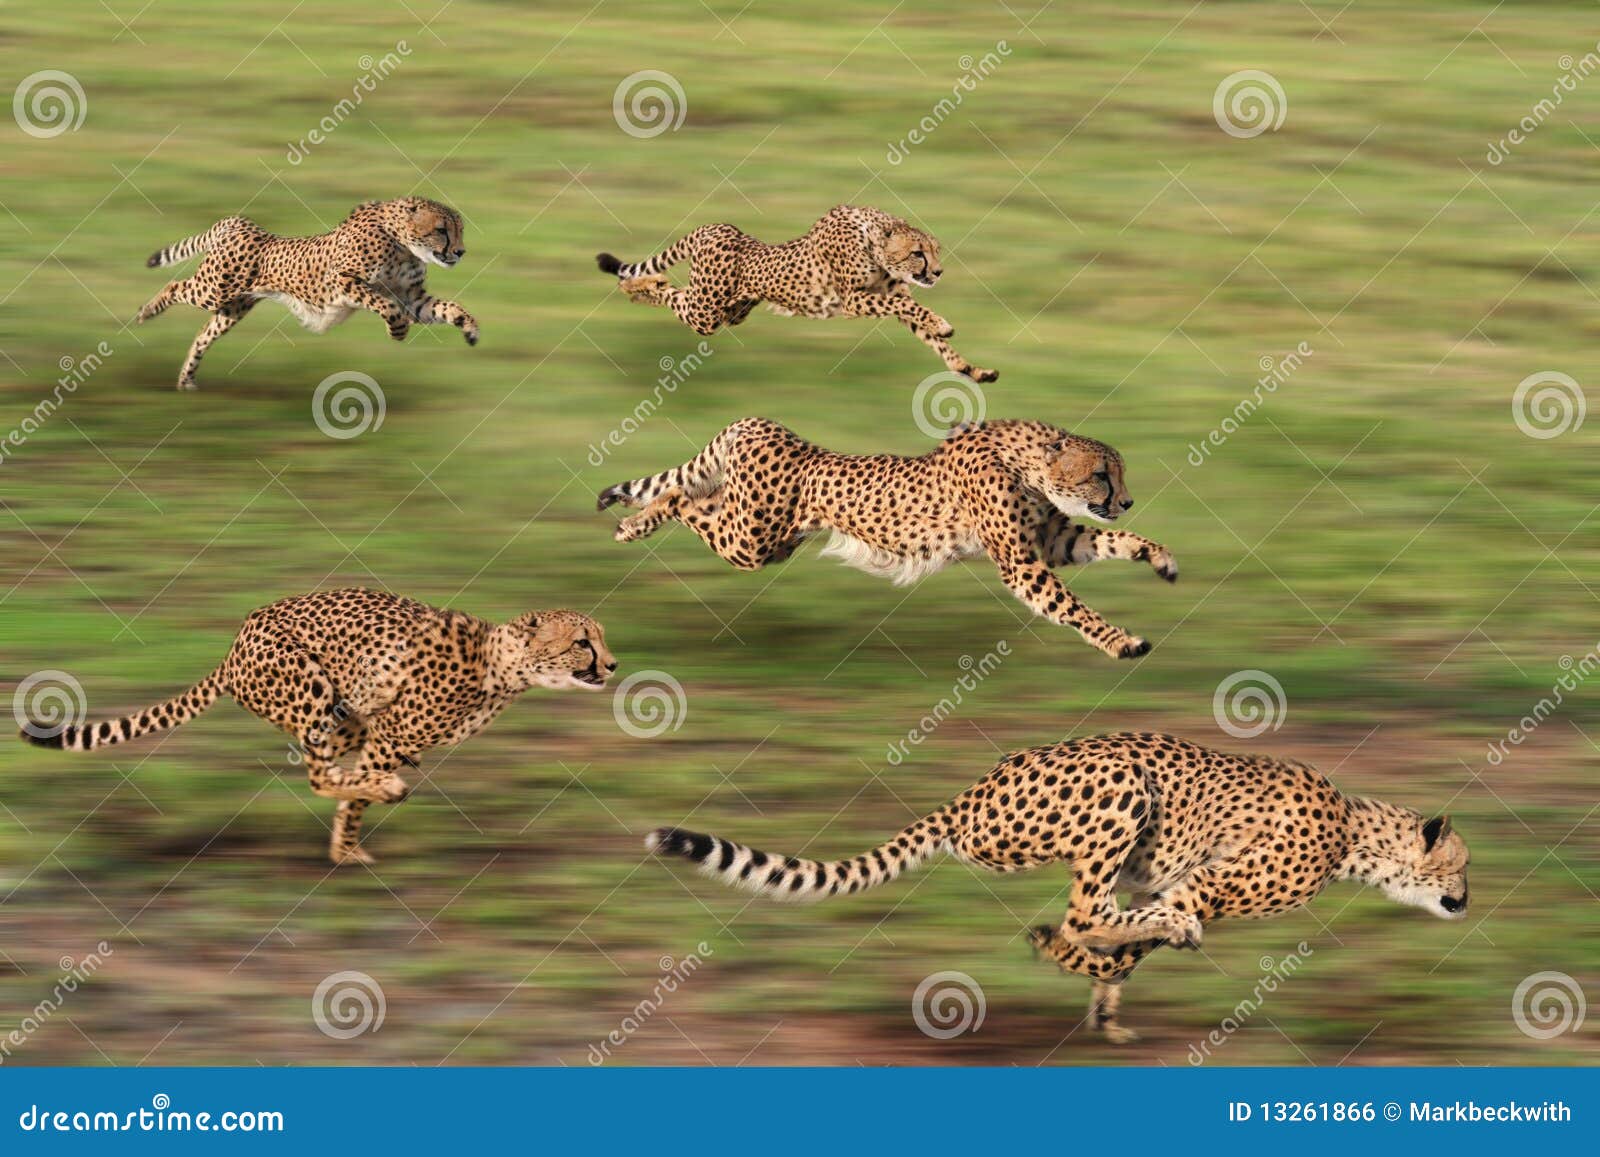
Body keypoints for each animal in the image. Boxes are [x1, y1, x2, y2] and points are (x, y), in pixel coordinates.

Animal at [19, 588, 616, 866]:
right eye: (582, 642)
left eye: (600, 638)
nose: (613, 665)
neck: (502, 667)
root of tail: (236, 642)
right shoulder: (390, 733)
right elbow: (354, 793)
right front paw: (350, 841)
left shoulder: (380, 732)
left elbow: (352, 796)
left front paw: (346, 848)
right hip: (312, 690)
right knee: (317, 773)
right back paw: (390, 787)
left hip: (344, 715)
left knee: (325, 767)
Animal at [137, 197, 479, 390]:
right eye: (441, 230)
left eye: (459, 230)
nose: (461, 252)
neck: (403, 244)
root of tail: (240, 222)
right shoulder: (342, 280)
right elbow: (384, 304)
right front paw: (397, 331)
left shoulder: (411, 298)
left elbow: (449, 307)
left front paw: (470, 328)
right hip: (214, 289)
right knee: (175, 286)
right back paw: (146, 312)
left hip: (233, 308)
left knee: (202, 335)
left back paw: (186, 378)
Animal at [595, 204, 998, 382]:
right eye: (919, 253)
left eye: (936, 251)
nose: (939, 271)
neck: (877, 239)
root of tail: (718, 227)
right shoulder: (855, 300)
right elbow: (913, 310)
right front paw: (943, 324)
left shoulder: (893, 298)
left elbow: (924, 329)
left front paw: (969, 368)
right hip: (706, 312)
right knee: (674, 297)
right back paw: (638, 287)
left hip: (732, 312)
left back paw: (641, 287)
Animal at [597, 417, 1175, 660]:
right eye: (1102, 475)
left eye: (1117, 474)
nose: (1125, 500)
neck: (1028, 460)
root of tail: (758, 423)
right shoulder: (1021, 563)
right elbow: (1073, 608)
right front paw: (1121, 642)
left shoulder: (1050, 540)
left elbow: (1112, 540)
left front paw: (1159, 557)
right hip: (751, 540)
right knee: (681, 497)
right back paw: (633, 524)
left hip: (763, 533)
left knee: (693, 495)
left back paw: (633, 519)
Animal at [646, 730, 1471, 1044]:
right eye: (1462, 866)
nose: (1468, 899)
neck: (1358, 831)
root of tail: (973, 791)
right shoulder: (1208, 880)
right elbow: (1145, 928)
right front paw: (1091, 972)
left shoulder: (1173, 884)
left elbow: (1133, 943)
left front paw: (1105, 1009)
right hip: (1123, 787)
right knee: (1082, 910)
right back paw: (1058, 937)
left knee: (1091, 912)